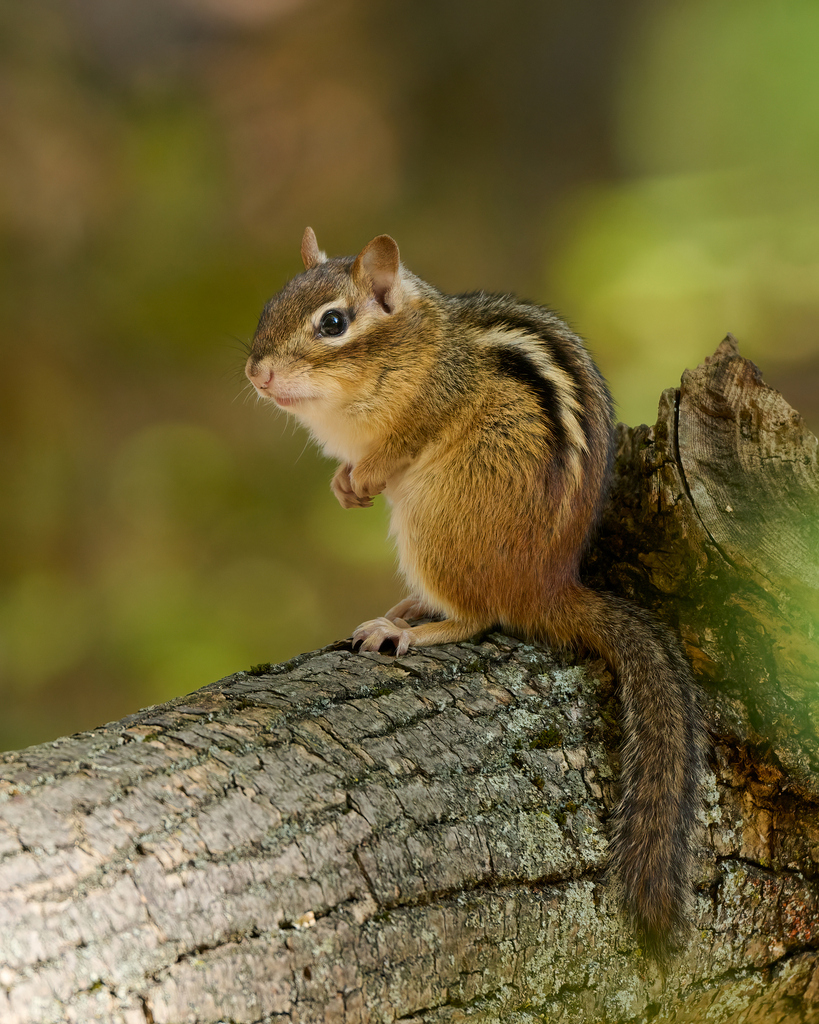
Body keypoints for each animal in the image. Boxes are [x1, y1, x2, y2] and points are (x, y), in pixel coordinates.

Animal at [245, 227, 705, 957]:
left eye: (333, 324)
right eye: (271, 305)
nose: (256, 373)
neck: (412, 347)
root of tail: (547, 584)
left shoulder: (425, 411)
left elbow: (393, 449)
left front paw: (360, 478)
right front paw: (343, 484)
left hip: (434, 514)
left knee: (480, 615)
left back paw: (412, 628)